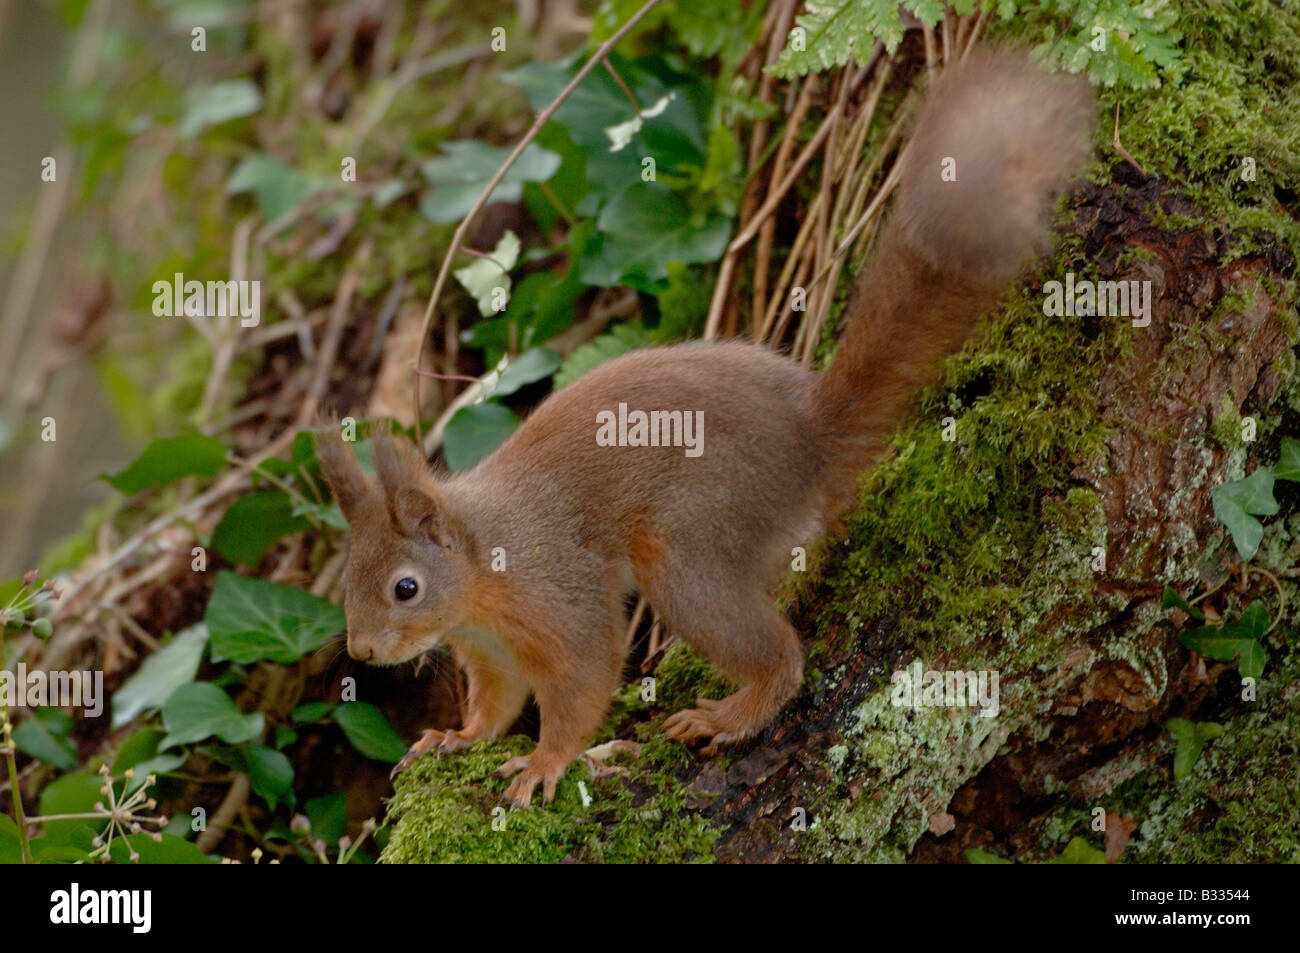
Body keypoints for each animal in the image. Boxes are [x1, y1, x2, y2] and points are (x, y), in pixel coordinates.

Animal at [317, 46, 1097, 800]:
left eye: (406, 587)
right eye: (348, 573)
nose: (362, 651)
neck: (481, 572)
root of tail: (809, 438)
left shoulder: (558, 592)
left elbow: (584, 676)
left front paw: (546, 762)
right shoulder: (491, 651)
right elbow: (496, 703)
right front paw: (455, 738)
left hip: (693, 543)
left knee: (777, 651)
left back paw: (731, 714)